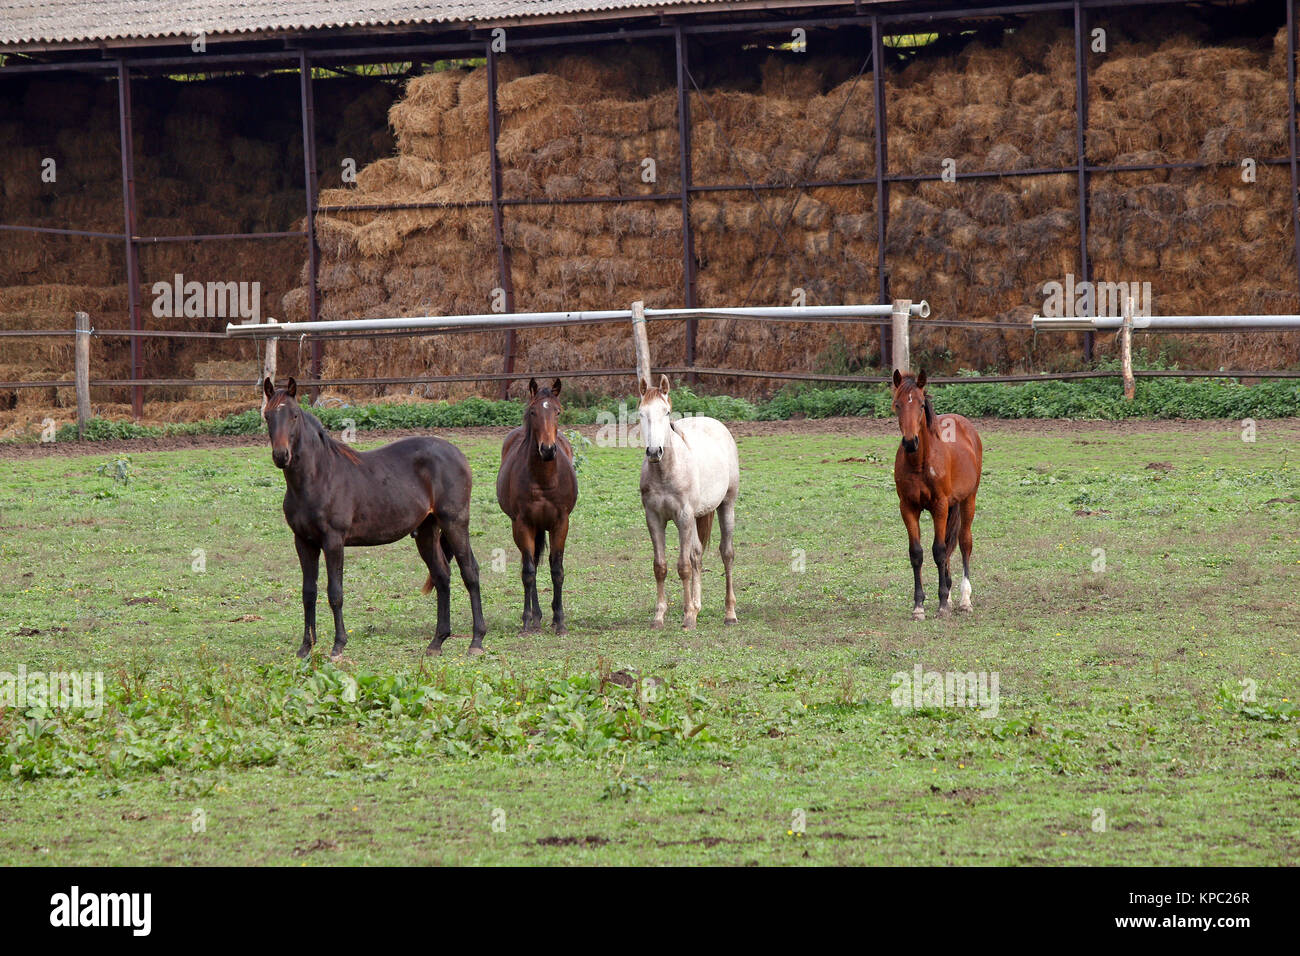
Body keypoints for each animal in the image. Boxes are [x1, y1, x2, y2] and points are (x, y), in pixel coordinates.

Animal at [262, 377, 486, 660]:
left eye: (293, 415)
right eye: (267, 415)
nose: (281, 456)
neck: (318, 477)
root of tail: (458, 455)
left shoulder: (333, 541)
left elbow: (335, 592)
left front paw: (338, 646)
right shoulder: (303, 542)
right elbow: (308, 593)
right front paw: (305, 647)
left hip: (455, 523)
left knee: (470, 572)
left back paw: (476, 641)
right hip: (427, 530)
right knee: (442, 575)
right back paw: (437, 642)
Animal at [496, 378, 579, 634]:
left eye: (558, 411)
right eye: (533, 412)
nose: (548, 449)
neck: (543, 478)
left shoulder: (561, 523)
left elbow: (557, 569)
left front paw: (559, 621)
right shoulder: (522, 524)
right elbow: (528, 571)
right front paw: (527, 620)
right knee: (529, 561)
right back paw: (536, 617)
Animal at [637, 373, 740, 630]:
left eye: (665, 412)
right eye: (641, 413)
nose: (654, 452)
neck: (666, 472)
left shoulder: (683, 517)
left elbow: (683, 567)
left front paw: (686, 618)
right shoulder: (654, 519)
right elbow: (660, 567)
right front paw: (660, 617)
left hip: (726, 506)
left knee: (726, 554)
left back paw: (729, 613)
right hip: (696, 517)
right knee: (697, 555)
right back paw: (697, 606)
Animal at [890, 369, 983, 620]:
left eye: (921, 404)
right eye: (897, 404)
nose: (910, 442)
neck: (920, 462)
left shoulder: (939, 506)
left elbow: (939, 551)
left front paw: (942, 605)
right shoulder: (908, 507)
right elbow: (917, 553)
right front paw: (919, 606)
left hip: (968, 501)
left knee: (964, 542)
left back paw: (963, 599)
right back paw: (950, 597)